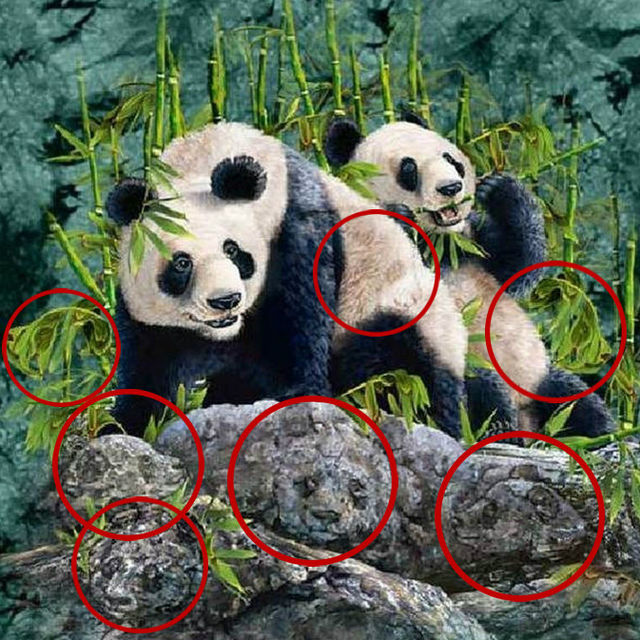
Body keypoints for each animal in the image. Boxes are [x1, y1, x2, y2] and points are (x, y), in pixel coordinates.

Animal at [106, 122, 468, 437]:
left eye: (233, 250)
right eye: (181, 263)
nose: (225, 300)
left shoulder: (296, 227)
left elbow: (301, 319)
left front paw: (293, 392)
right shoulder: (149, 319)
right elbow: (149, 367)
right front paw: (127, 423)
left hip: (397, 311)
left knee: (402, 373)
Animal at [324, 114, 615, 437]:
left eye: (451, 159)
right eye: (409, 169)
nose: (451, 187)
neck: (436, 240)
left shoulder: (471, 244)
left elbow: (517, 264)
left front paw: (499, 189)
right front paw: (402, 216)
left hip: (536, 380)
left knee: (574, 400)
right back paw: (498, 425)